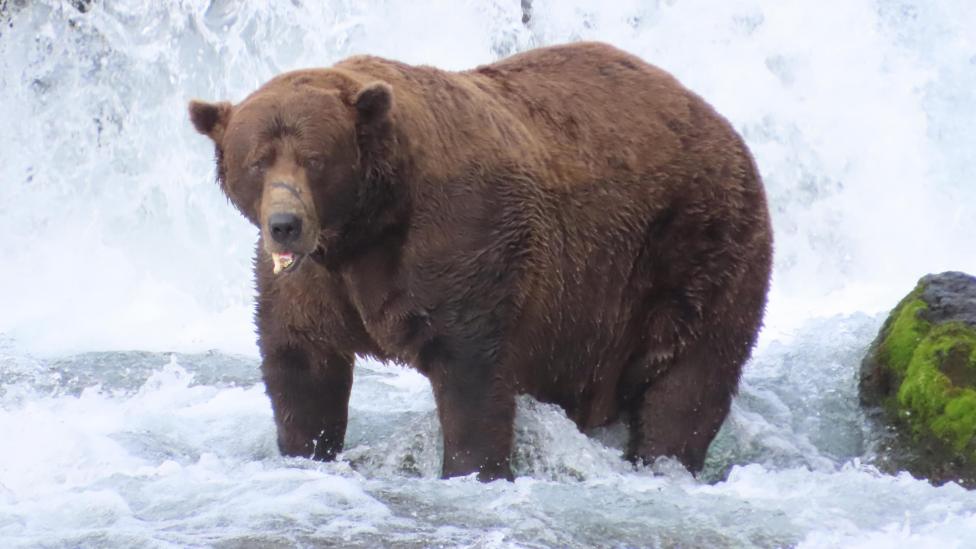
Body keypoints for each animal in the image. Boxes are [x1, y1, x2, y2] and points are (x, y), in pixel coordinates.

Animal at [189, 41, 773, 481]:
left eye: (315, 159)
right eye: (257, 161)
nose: (285, 223)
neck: (366, 227)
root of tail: (719, 121)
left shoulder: (463, 241)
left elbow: (471, 372)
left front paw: (473, 469)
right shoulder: (312, 282)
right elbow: (301, 363)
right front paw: (306, 449)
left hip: (695, 247)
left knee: (690, 379)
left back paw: (663, 459)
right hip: (591, 315)